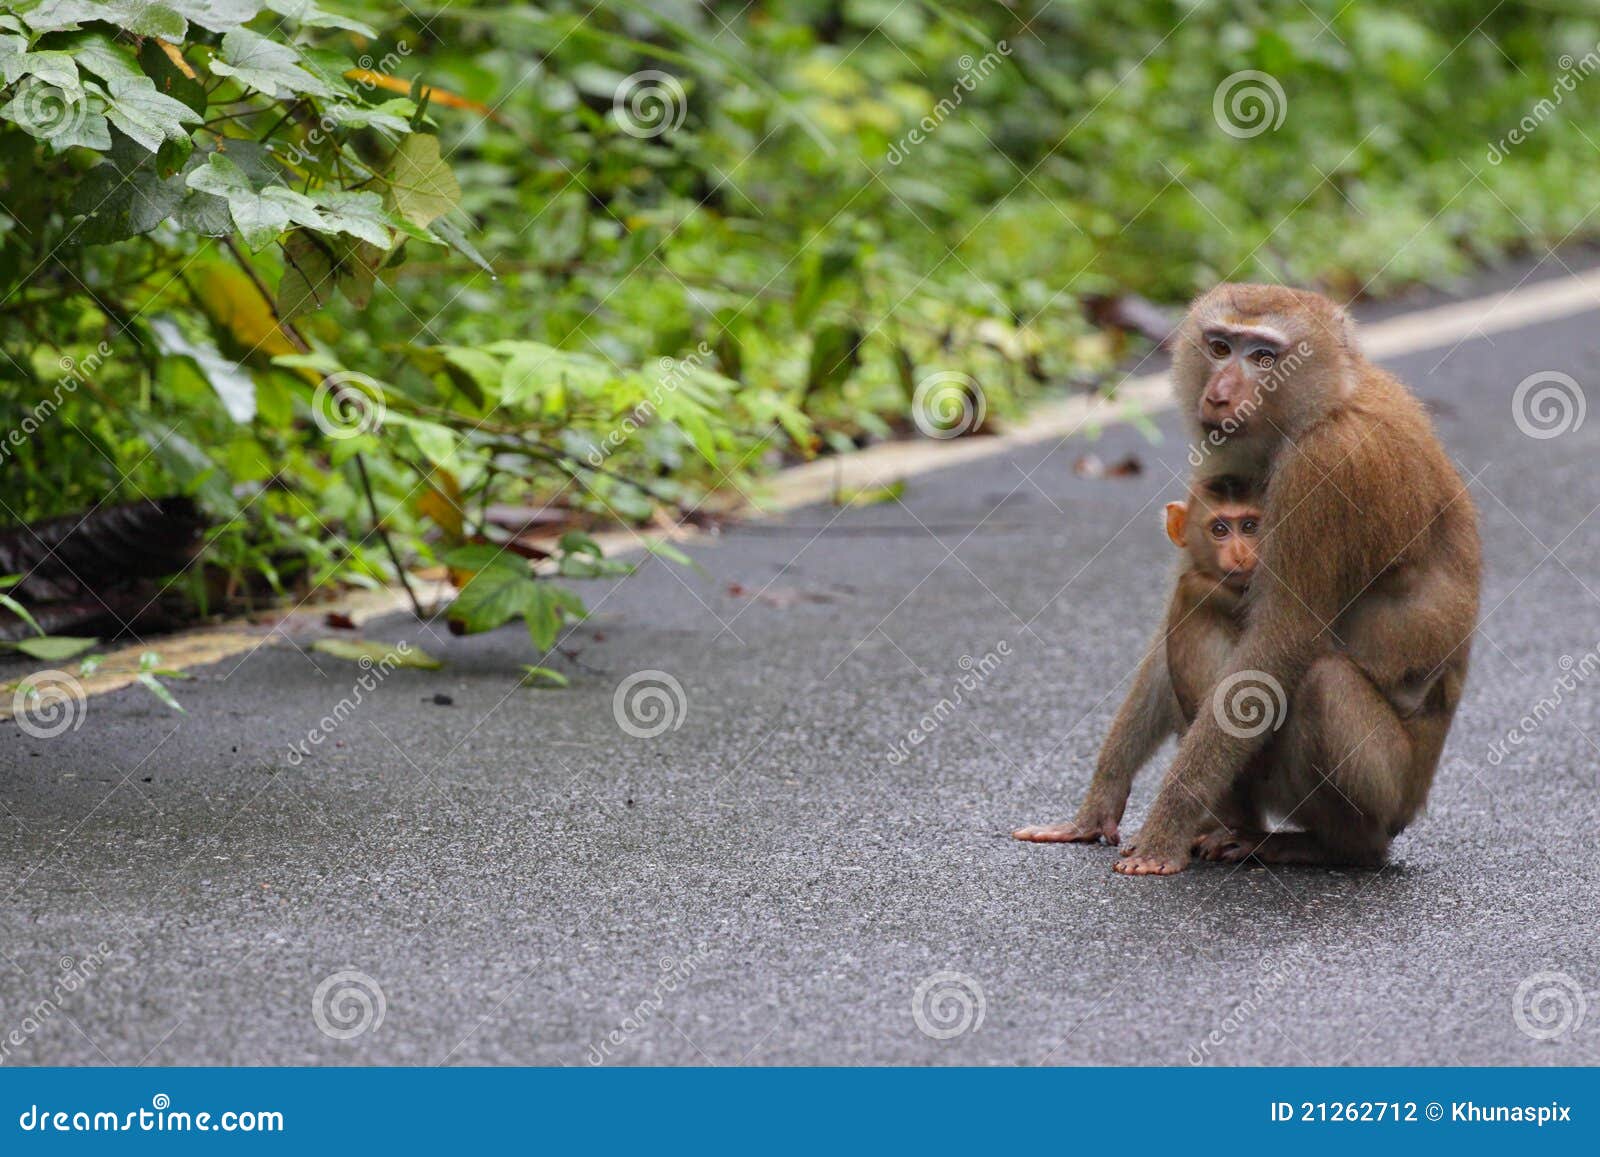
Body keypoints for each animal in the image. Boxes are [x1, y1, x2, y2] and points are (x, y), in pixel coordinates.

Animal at [1107, 283, 1480, 875]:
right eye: (1220, 347)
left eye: (1263, 357)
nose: (1219, 395)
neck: (1327, 404)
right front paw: (1100, 798)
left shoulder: (1323, 474)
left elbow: (1279, 642)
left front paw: (1162, 833)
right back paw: (1233, 826)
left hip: (1388, 788)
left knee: (1317, 682)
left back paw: (1333, 845)